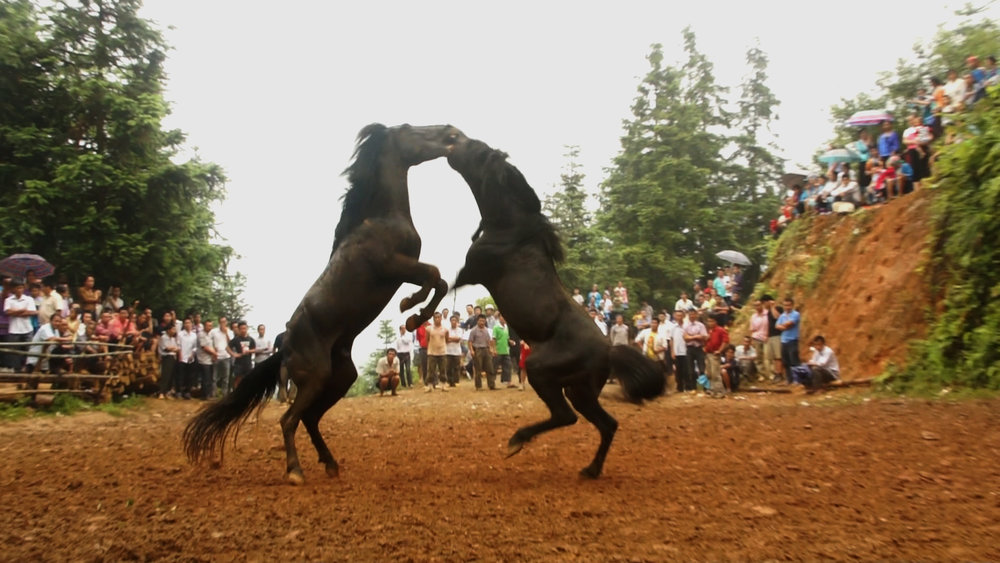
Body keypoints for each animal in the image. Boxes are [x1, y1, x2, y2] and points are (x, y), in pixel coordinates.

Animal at [184, 123, 466, 485]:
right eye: (408, 129)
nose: (450, 131)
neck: (381, 217)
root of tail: (284, 348)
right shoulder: (393, 266)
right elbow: (434, 275)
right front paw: (411, 311)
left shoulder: (404, 268)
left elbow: (440, 281)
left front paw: (413, 312)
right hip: (316, 377)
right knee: (290, 420)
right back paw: (295, 471)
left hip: (340, 377)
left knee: (310, 418)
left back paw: (330, 464)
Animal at [447, 137, 666, 479]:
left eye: (476, 149)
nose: (455, 140)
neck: (509, 226)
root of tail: (608, 349)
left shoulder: (470, 273)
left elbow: (436, 286)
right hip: (580, 390)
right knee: (606, 423)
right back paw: (591, 469)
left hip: (541, 370)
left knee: (566, 416)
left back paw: (517, 440)